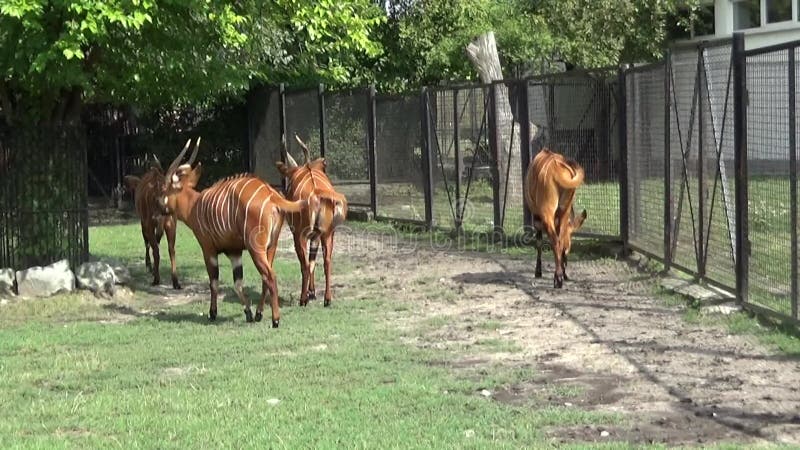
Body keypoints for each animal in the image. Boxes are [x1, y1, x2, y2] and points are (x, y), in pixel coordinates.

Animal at [123, 155, 181, 289]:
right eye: (157, 195)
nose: (161, 213)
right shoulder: (149, 224)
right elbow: (155, 249)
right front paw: (156, 278)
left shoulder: (170, 224)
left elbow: (171, 250)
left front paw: (175, 281)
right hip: (144, 223)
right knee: (148, 242)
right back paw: (149, 266)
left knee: (154, 242)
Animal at [160, 138, 314, 326]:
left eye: (164, 189)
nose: (160, 207)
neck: (195, 205)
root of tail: (271, 195)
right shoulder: (235, 253)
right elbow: (238, 283)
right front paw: (248, 312)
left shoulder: (208, 250)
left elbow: (214, 282)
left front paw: (213, 313)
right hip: (271, 247)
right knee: (265, 278)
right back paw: (259, 313)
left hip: (256, 249)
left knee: (270, 276)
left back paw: (275, 320)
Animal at [276, 135, 347, 307]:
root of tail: (316, 193)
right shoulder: (316, 235)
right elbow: (314, 260)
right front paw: (313, 292)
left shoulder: (300, 234)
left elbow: (307, 263)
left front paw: (309, 294)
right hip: (327, 234)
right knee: (326, 261)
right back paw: (327, 299)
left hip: (300, 235)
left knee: (305, 264)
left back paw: (303, 299)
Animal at [524, 148, 587, 288]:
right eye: (568, 251)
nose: (566, 274)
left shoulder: (537, 217)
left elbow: (539, 242)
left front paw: (538, 272)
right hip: (564, 211)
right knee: (560, 240)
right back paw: (560, 276)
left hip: (547, 213)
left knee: (554, 241)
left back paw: (558, 279)